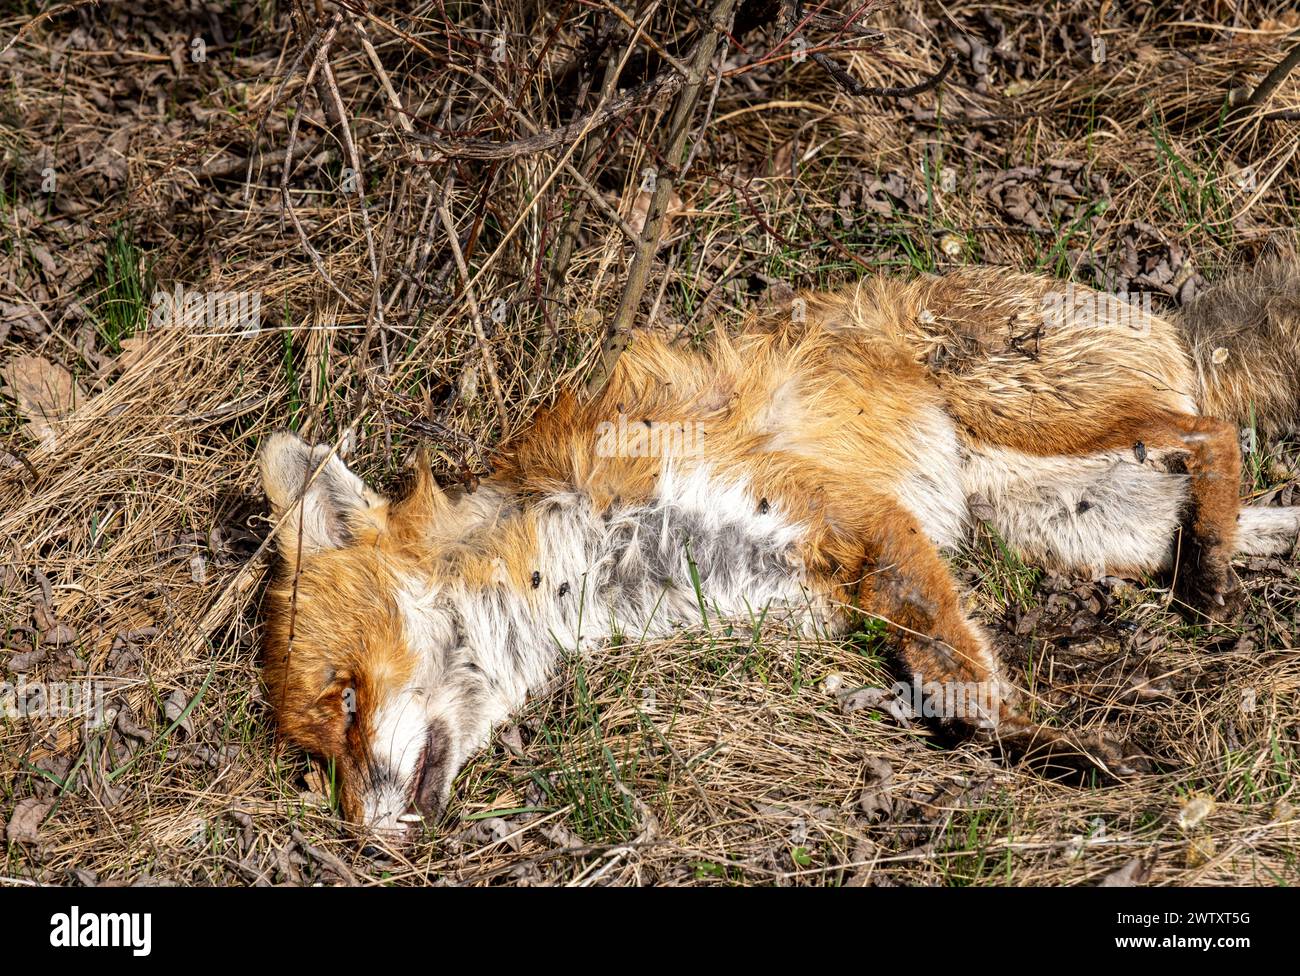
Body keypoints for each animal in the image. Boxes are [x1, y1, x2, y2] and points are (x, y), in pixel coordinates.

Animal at [258, 256, 1300, 838]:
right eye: (318, 751)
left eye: (346, 701)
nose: (364, 840)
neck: (590, 562)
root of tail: (1157, 317)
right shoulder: (820, 592)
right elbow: (947, 681)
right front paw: (1033, 747)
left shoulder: (854, 516)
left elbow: (959, 681)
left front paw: (1053, 752)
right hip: (1076, 523)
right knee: (1240, 499)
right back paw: (1235, 557)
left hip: (1046, 422)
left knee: (1213, 431)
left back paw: (1212, 575)